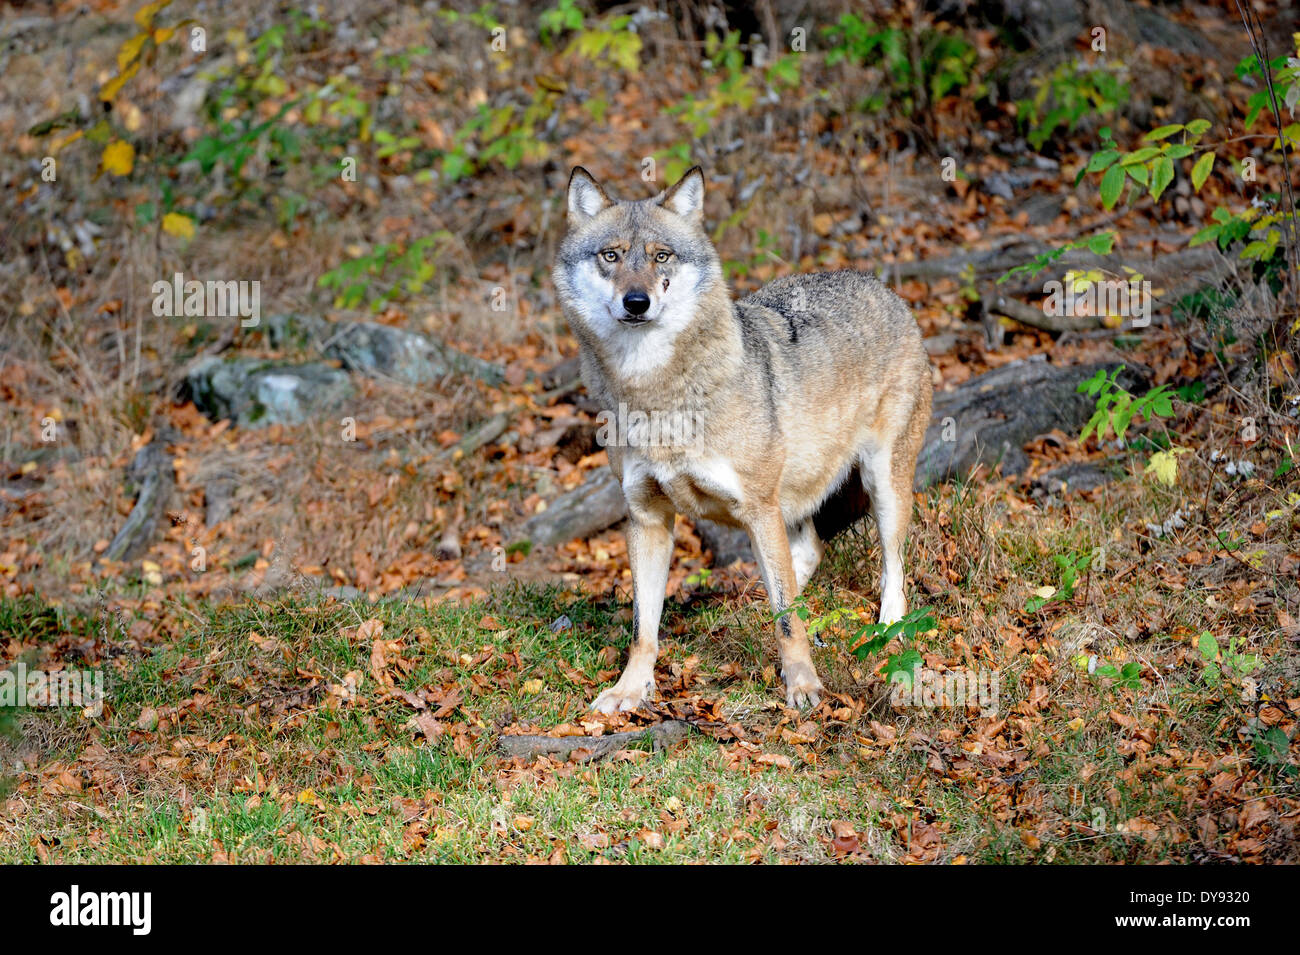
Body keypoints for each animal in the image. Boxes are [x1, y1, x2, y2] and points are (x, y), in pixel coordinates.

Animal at [553, 166, 932, 713]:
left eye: (661, 256)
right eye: (611, 256)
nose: (637, 302)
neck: (656, 393)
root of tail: (882, 287)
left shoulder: (757, 506)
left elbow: (789, 622)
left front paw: (803, 687)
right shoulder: (647, 517)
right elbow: (643, 627)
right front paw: (631, 689)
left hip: (880, 487)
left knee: (891, 570)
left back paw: (888, 633)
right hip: (793, 502)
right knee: (807, 554)